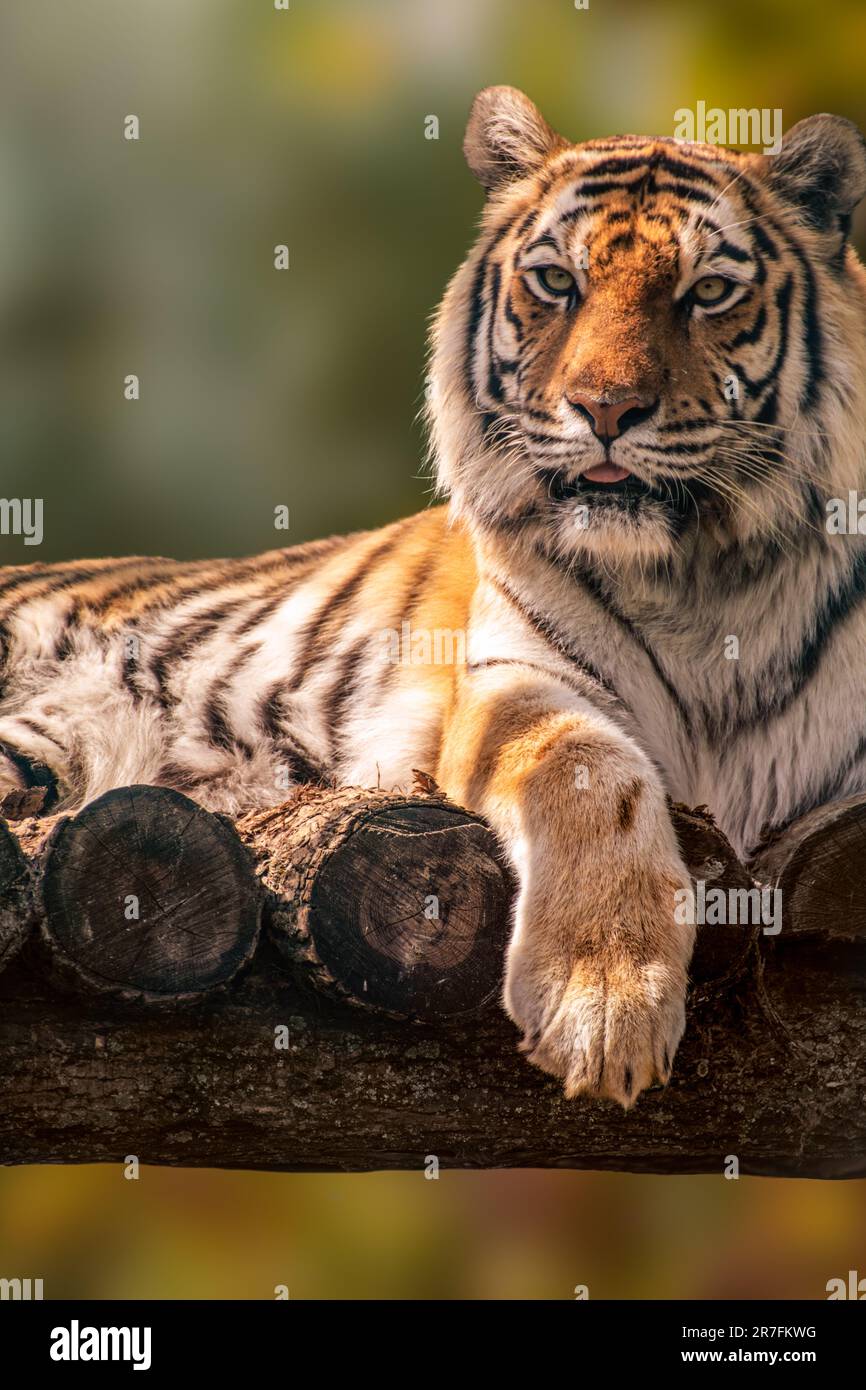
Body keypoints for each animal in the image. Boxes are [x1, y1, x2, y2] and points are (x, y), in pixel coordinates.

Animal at [2, 87, 866, 1107]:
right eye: (557, 283)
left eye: (708, 292)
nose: (605, 410)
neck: (699, 575)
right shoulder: (515, 679)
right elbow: (591, 772)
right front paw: (602, 1004)